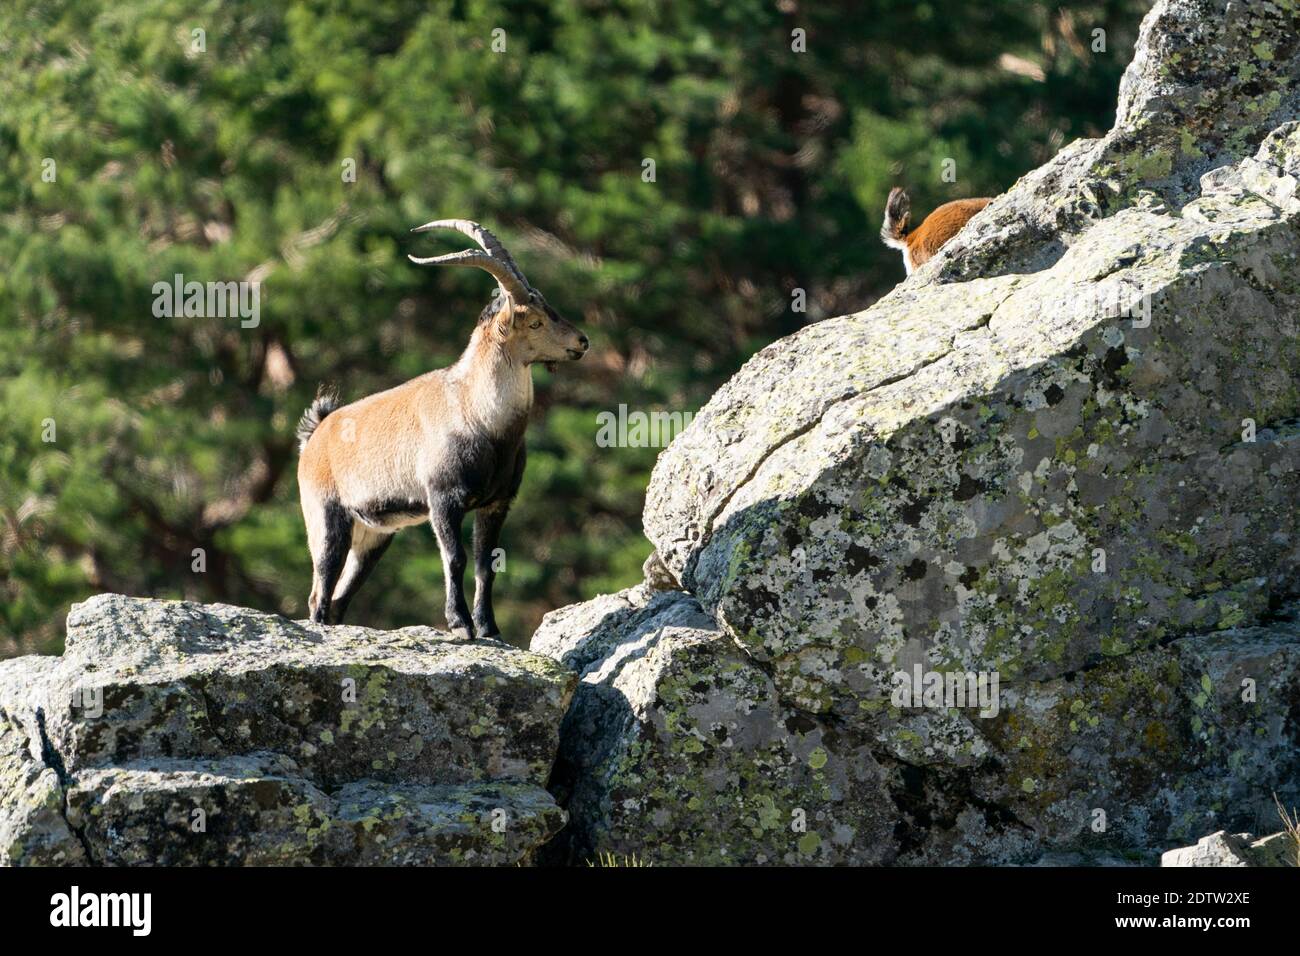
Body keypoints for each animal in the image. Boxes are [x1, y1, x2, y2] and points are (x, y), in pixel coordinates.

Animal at [295, 219, 589, 637]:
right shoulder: (443, 499)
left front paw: (490, 628)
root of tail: (316, 435)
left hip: (373, 535)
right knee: (320, 587)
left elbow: (486, 565)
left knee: (339, 596)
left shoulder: (497, 502)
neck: (480, 416)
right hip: (326, 516)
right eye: (534, 320)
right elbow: (455, 558)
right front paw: (460, 624)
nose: (582, 341)